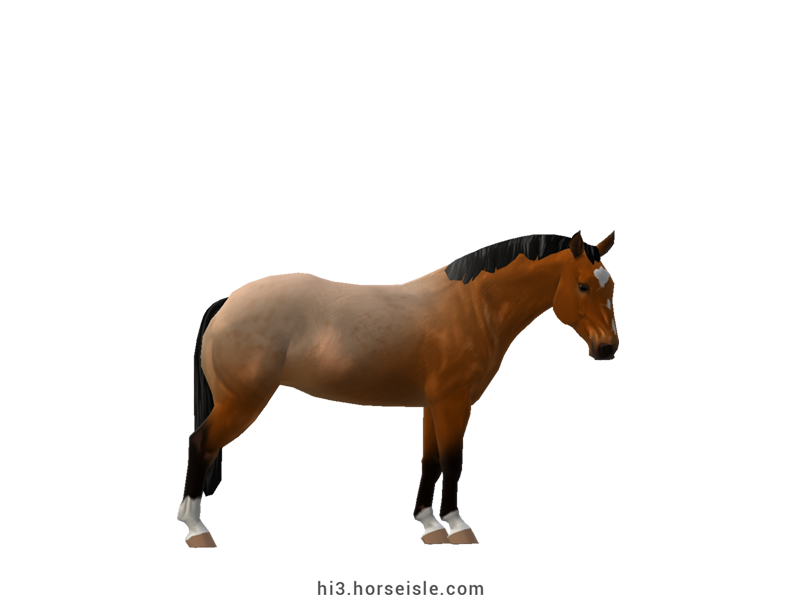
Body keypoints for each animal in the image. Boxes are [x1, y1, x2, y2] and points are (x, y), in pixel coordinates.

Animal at [177, 232, 617, 540]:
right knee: (201, 443)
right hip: (241, 402)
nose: (607, 347)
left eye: (609, 283)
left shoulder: (433, 403)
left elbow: (431, 460)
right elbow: (453, 460)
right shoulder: (453, 401)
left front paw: (427, 522)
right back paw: (192, 528)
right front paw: (456, 522)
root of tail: (229, 302)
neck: (476, 306)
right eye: (582, 285)